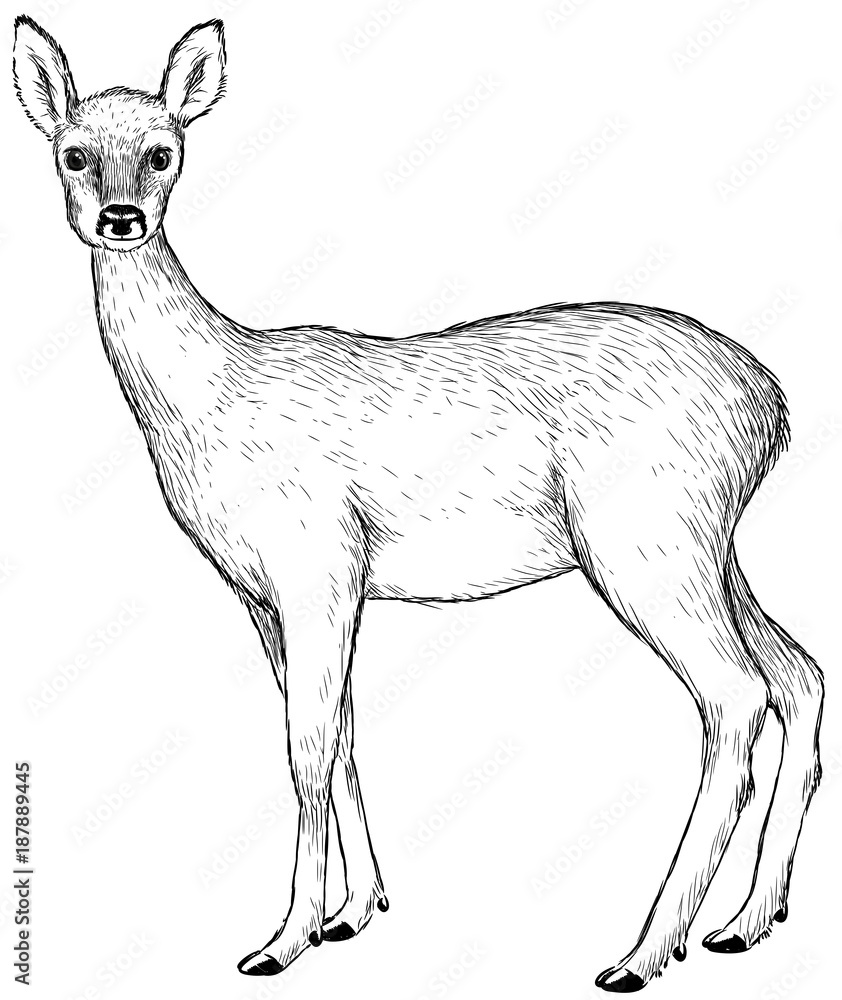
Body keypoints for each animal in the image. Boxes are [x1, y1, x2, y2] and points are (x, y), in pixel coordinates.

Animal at [12, 15, 824, 993]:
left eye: (164, 151)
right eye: (73, 151)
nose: (120, 219)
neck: (214, 396)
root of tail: (772, 404)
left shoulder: (316, 562)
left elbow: (306, 748)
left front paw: (282, 939)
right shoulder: (264, 592)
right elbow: (342, 737)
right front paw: (355, 913)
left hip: (643, 540)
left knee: (736, 695)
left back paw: (640, 954)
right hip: (706, 544)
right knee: (798, 673)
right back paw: (747, 922)